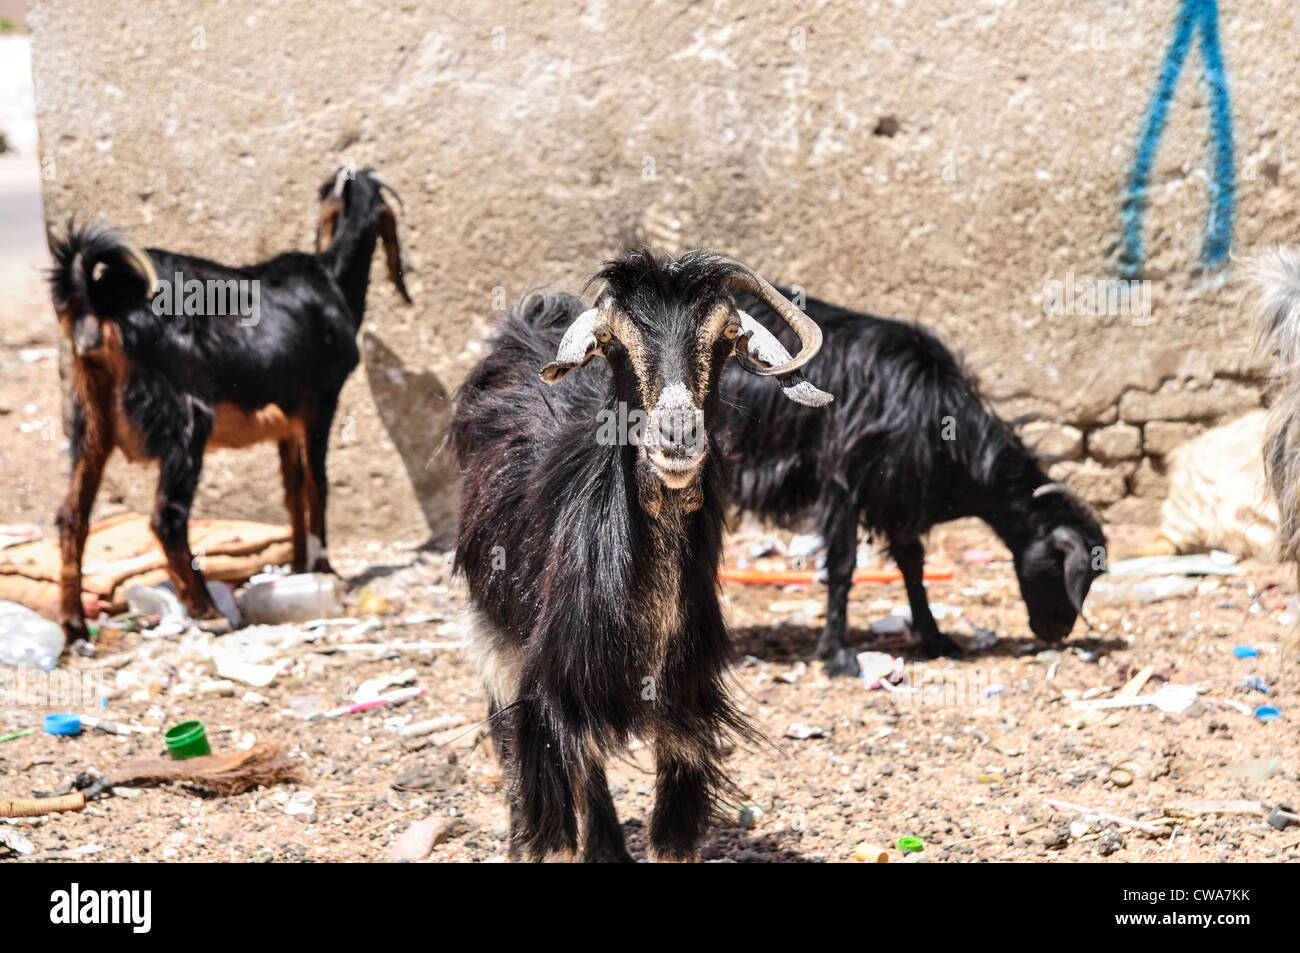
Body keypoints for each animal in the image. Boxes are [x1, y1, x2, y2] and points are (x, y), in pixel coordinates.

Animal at [48, 168, 410, 640]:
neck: (331, 277)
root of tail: (96, 294)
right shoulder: (321, 401)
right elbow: (317, 485)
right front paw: (324, 568)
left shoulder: (287, 421)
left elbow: (292, 490)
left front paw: (298, 567)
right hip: (185, 417)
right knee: (167, 517)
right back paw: (206, 608)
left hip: (91, 414)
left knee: (73, 514)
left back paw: (73, 621)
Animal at [451, 249, 832, 862]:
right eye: (610, 340)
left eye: (727, 335)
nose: (676, 436)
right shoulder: (546, 695)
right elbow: (551, 826)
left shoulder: (687, 711)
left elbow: (671, 838)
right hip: (492, 635)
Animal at [722, 291, 1107, 675]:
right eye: (1060, 565)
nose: (1058, 631)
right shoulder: (846, 482)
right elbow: (844, 566)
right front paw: (838, 655)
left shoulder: (896, 493)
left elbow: (912, 564)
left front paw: (936, 640)